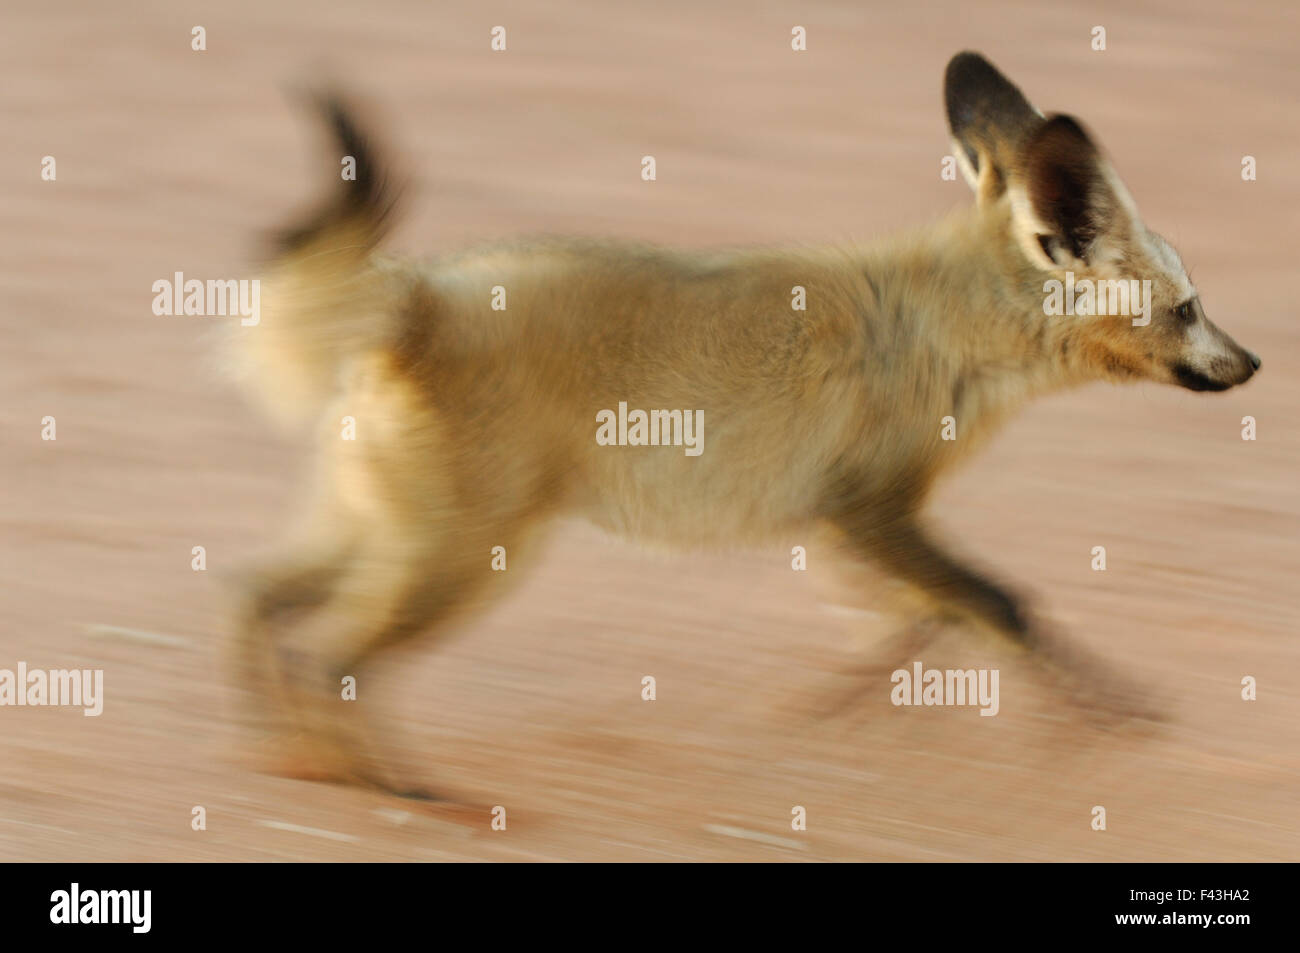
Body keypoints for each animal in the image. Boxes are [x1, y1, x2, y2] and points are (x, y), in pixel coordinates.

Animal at [225, 52, 1260, 795]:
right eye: (1190, 309)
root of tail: (415, 296)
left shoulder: (846, 525)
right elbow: (1003, 605)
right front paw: (1100, 718)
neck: (943, 325)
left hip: (387, 537)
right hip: (462, 562)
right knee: (329, 660)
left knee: (257, 601)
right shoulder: (868, 510)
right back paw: (387, 785)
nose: (1252, 364)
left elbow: (932, 618)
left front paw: (848, 705)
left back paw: (291, 755)